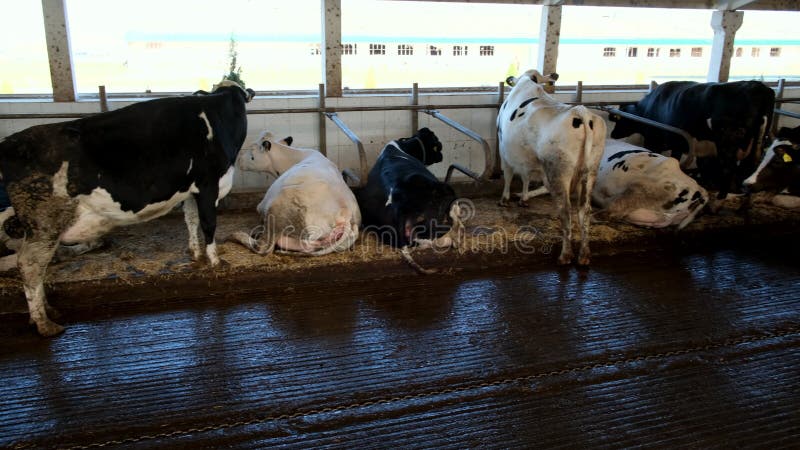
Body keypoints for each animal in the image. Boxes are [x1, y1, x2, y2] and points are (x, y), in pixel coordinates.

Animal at [0, 80, 255, 336]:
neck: (218, 113)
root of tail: (11, 143)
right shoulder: (209, 185)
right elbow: (209, 224)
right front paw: (215, 260)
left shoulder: (191, 189)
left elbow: (191, 221)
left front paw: (195, 253)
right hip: (45, 220)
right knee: (30, 264)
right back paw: (43, 322)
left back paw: (48, 310)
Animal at [227, 131, 361, 255]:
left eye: (252, 154)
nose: (238, 161)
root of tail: (347, 213)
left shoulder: (262, 205)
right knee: (304, 244)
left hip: (278, 209)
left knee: (264, 246)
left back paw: (237, 235)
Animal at [497, 69, 607, 266]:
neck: (527, 82)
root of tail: (581, 111)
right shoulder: (530, 158)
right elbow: (526, 176)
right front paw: (523, 198)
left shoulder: (504, 148)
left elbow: (509, 174)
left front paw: (505, 199)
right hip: (591, 171)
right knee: (584, 210)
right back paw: (584, 255)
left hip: (559, 170)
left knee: (565, 210)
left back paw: (565, 255)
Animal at [609, 80, 775, 203]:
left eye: (620, 120)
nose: (613, 133)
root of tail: (758, 86)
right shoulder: (686, 146)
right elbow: (692, 163)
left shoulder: (656, 140)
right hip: (756, 145)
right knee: (751, 167)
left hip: (727, 143)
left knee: (729, 169)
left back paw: (718, 201)